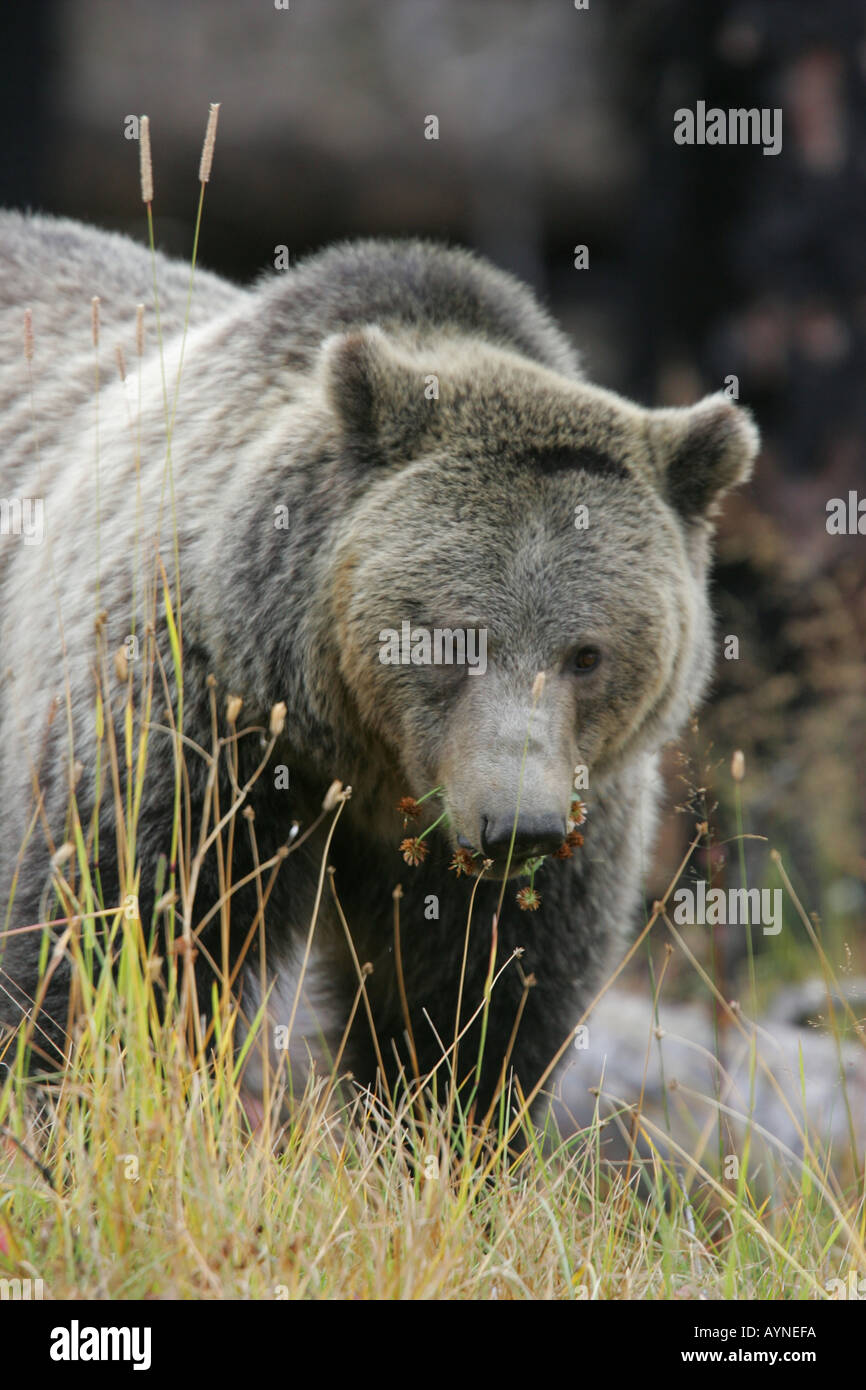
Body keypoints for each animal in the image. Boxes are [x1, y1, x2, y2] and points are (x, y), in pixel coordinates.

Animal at [0, 210, 759, 1124]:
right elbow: (114, 930)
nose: (520, 825)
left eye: (588, 653)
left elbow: (477, 1003)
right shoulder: (189, 717)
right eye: (453, 638)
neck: (362, 753)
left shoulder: (570, 806)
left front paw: (443, 1116)